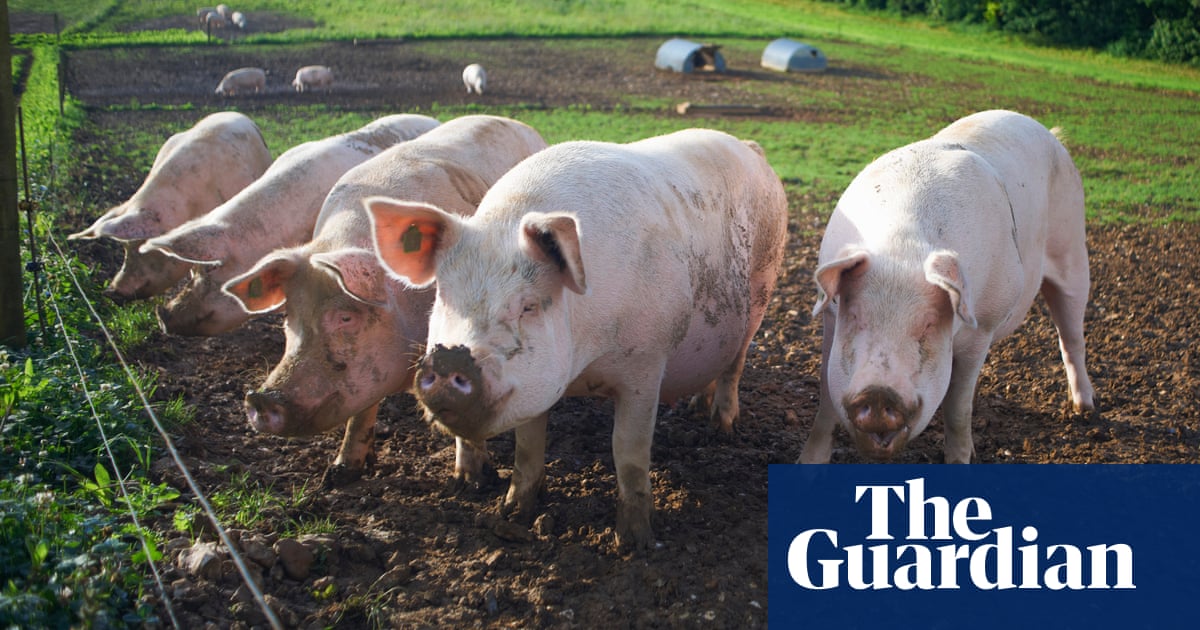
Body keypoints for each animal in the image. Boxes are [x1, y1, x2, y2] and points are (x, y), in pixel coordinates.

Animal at [222, 115, 548, 487]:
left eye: (345, 317)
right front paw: (341, 472)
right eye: (288, 316)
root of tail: (515, 122)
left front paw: (472, 483)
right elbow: (362, 410)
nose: (262, 398)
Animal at [368, 128, 788, 549]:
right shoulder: (538, 382)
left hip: (762, 290)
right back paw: (695, 409)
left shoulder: (646, 363)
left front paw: (634, 541)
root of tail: (749, 148)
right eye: (443, 296)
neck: (585, 363)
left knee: (735, 364)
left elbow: (628, 449)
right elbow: (528, 446)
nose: (450, 359)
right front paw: (512, 514)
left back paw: (722, 426)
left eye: (528, 306)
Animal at [797, 109, 1096, 465]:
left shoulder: (983, 326)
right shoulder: (830, 317)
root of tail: (1048, 132)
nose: (879, 395)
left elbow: (957, 410)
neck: (901, 251)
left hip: (1073, 248)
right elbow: (826, 400)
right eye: (855, 317)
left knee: (1072, 336)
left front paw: (960, 459)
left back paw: (1084, 410)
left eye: (927, 325)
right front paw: (807, 462)